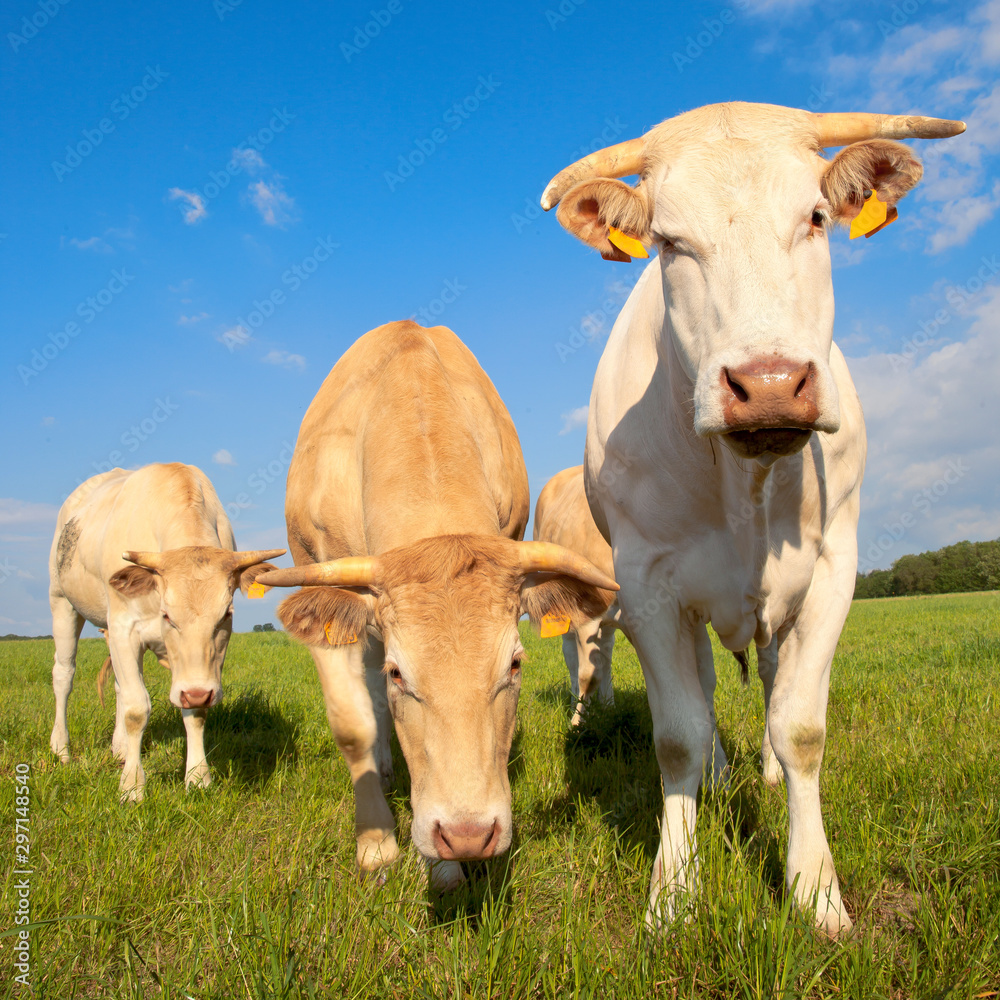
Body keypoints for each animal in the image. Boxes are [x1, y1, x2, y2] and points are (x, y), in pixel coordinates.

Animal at [48, 462, 284, 801]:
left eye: (226, 615)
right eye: (167, 615)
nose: (197, 692)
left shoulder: (199, 666)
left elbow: (194, 712)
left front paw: (197, 778)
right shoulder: (123, 628)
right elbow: (136, 708)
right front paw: (132, 787)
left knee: (118, 685)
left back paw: (120, 748)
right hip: (62, 602)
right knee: (64, 675)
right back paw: (61, 748)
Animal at [258, 321, 618, 888]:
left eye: (515, 664)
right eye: (399, 673)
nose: (467, 834)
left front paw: (444, 869)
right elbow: (355, 725)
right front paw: (379, 844)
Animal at [540, 102, 964, 936]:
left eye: (817, 217)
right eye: (670, 242)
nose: (769, 384)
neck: (747, 480)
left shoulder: (832, 573)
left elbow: (801, 727)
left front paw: (816, 892)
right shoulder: (648, 588)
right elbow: (677, 736)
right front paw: (673, 893)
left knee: (770, 682)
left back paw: (763, 771)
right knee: (705, 692)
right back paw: (719, 772)